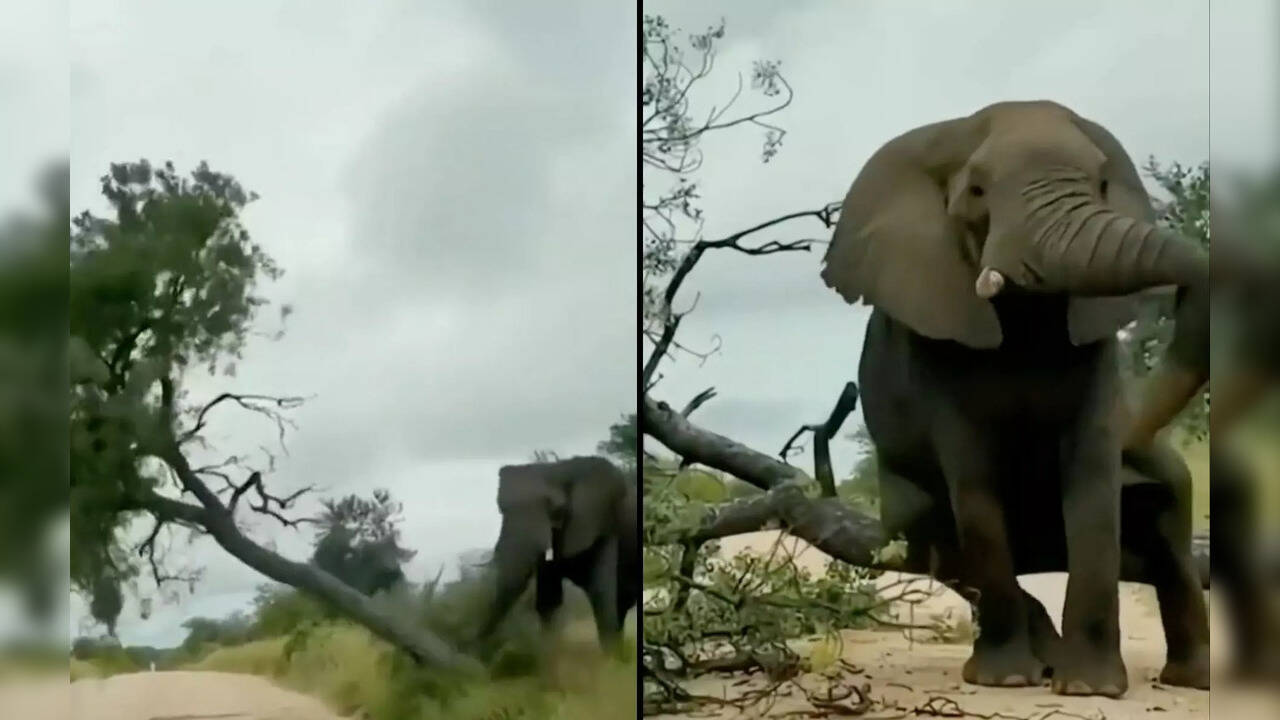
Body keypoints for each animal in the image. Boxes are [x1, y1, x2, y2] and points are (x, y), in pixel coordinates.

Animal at [477, 456, 638, 653]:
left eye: (557, 510)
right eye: (501, 508)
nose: (478, 646)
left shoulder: (603, 522)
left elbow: (601, 593)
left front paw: (611, 661)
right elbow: (548, 600)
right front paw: (549, 657)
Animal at [820, 101, 1210, 697]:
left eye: (1102, 183)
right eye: (977, 191)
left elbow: (1093, 477)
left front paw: (1089, 689)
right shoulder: (939, 344)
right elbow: (974, 486)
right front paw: (1006, 681)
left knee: (1170, 528)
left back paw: (1191, 680)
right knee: (931, 539)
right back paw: (1042, 655)